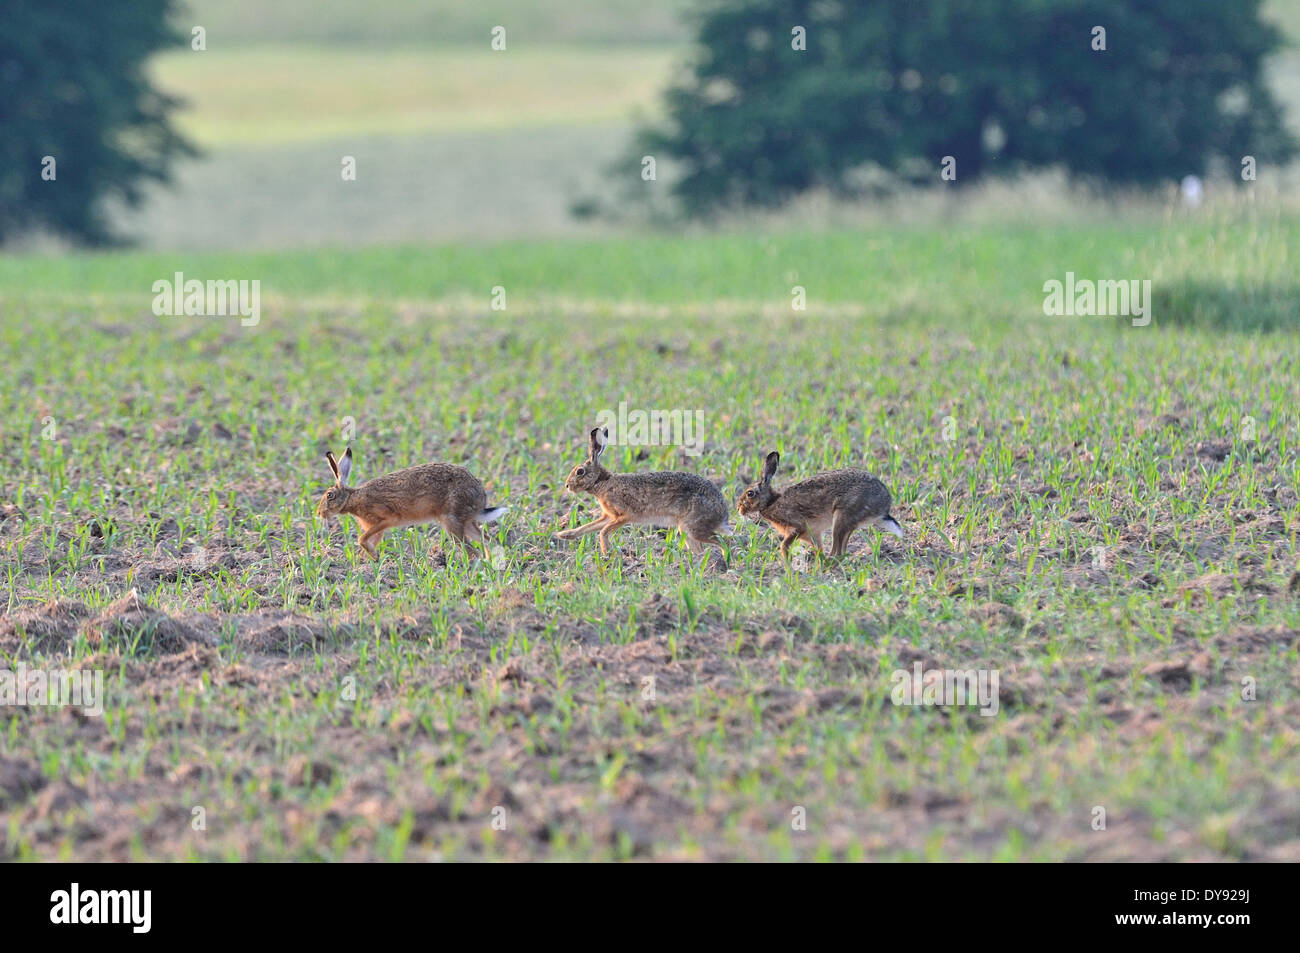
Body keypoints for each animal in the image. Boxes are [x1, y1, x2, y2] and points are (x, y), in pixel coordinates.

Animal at [316, 446, 506, 561]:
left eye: (329, 495)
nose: (319, 513)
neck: (352, 499)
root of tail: (480, 497)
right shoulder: (376, 528)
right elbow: (368, 542)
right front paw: (366, 561)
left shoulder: (386, 519)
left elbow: (362, 539)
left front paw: (372, 558)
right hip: (466, 523)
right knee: (489, 541)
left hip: (452, 521)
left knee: (473, 551)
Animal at [555, 427, 728, 566]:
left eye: (580, 471)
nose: (567, 486)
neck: (602, 482)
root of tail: (723, 513)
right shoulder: (609, 516)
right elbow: (589, 527)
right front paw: (564, 535)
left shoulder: (625, 515)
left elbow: (603, 532)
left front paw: (607, 554)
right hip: (685, 529)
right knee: (700, 548)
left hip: (694, 526)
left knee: (722, 541)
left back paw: (723, 561)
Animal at [736, 451, 903, 560]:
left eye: (750, 493)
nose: (739, 508)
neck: (771, 502)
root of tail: (884, 507)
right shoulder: (813, 534)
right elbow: (818, 548)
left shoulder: (798, 526)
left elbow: (785, 545)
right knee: (841, 549)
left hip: (842, 517)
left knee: (838, 551)